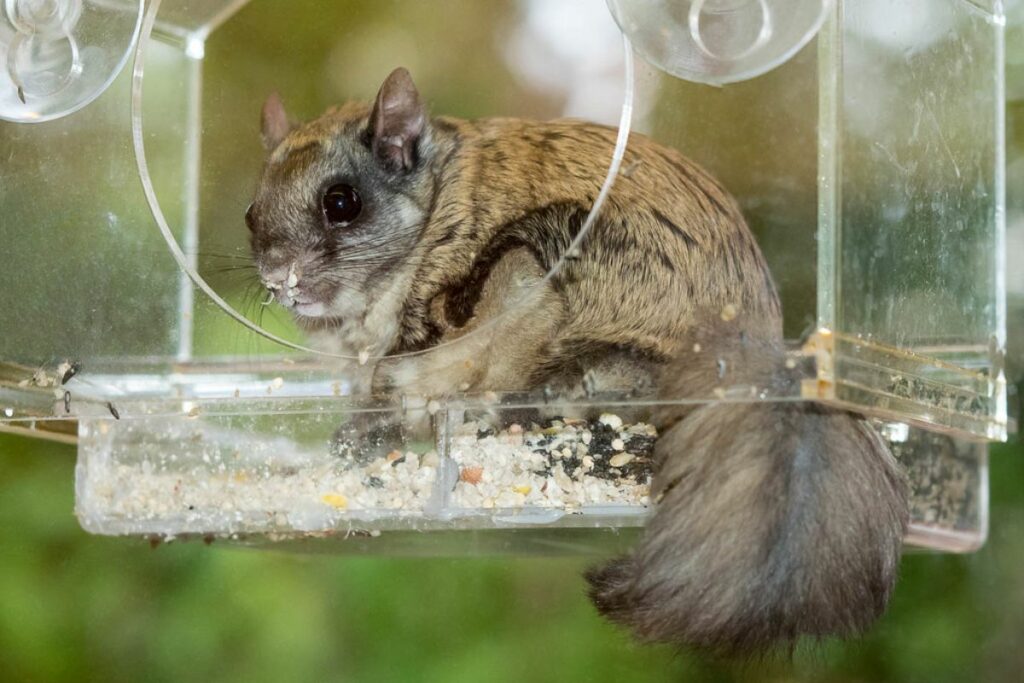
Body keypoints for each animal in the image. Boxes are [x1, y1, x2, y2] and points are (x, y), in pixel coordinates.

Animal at [246, 67, 909, 656]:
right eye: (251, 214)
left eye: (342, 202)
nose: (278, 280)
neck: (433, 210)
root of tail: (749, 353)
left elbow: (410, 382)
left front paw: (372, 427)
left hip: (538, 272)